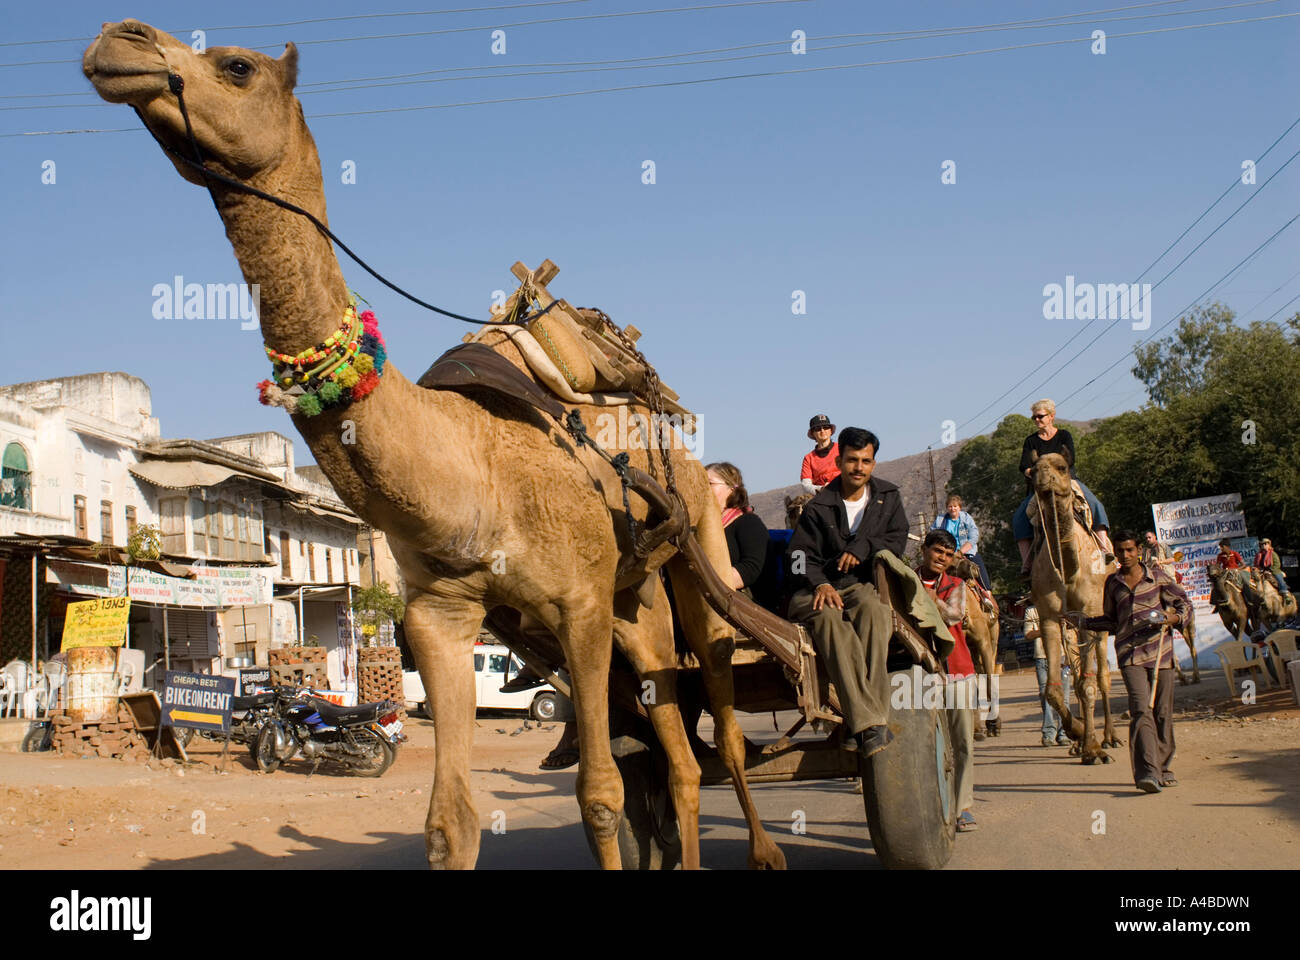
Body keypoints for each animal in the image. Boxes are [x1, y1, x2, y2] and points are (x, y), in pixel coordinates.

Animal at [83, 19, 786, 870]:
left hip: (696, 554)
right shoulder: (441, 617)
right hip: (635, 604)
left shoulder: (578, 605)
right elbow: (451, 820)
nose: (118, 41)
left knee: (720, 709)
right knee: (676, 754)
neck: (469, 467)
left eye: (237, 66)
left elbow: (600, 795)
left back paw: (767, 850)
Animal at [1027, 453, 1121, 764]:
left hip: (1101, 620)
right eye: (1033, 470)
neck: (1069, 570)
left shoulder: (1088, 615)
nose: (1043, 478)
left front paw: (1094, 749)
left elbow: (1088, 685)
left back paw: (1111, 737)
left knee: (1102, 677)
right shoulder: (1048, 618)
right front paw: (1079, 734)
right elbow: (1054, 690)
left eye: (1062, 467)